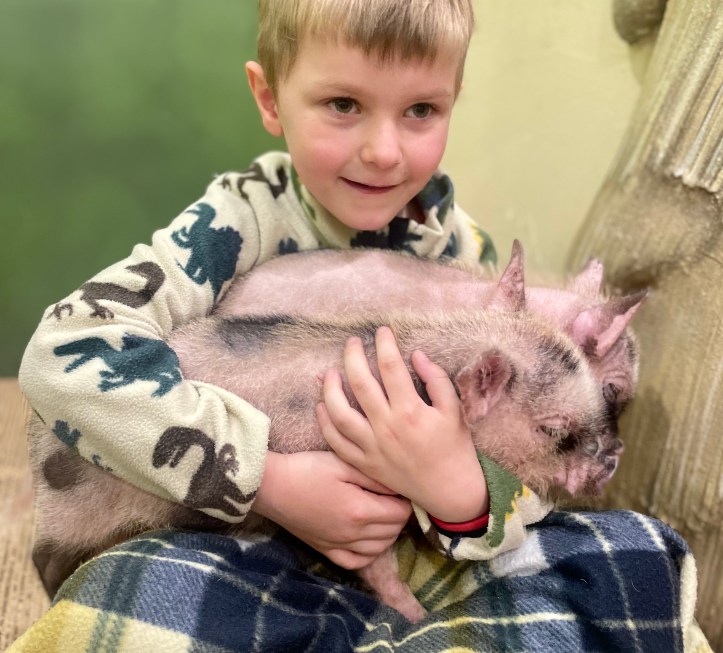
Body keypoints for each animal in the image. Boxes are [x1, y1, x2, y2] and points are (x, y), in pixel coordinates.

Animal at [28, 246, 625, 622]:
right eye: (554, 430)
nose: (613, 458)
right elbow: (380, 568)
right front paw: (414, 615)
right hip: (74, 518)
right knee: (46, 560)